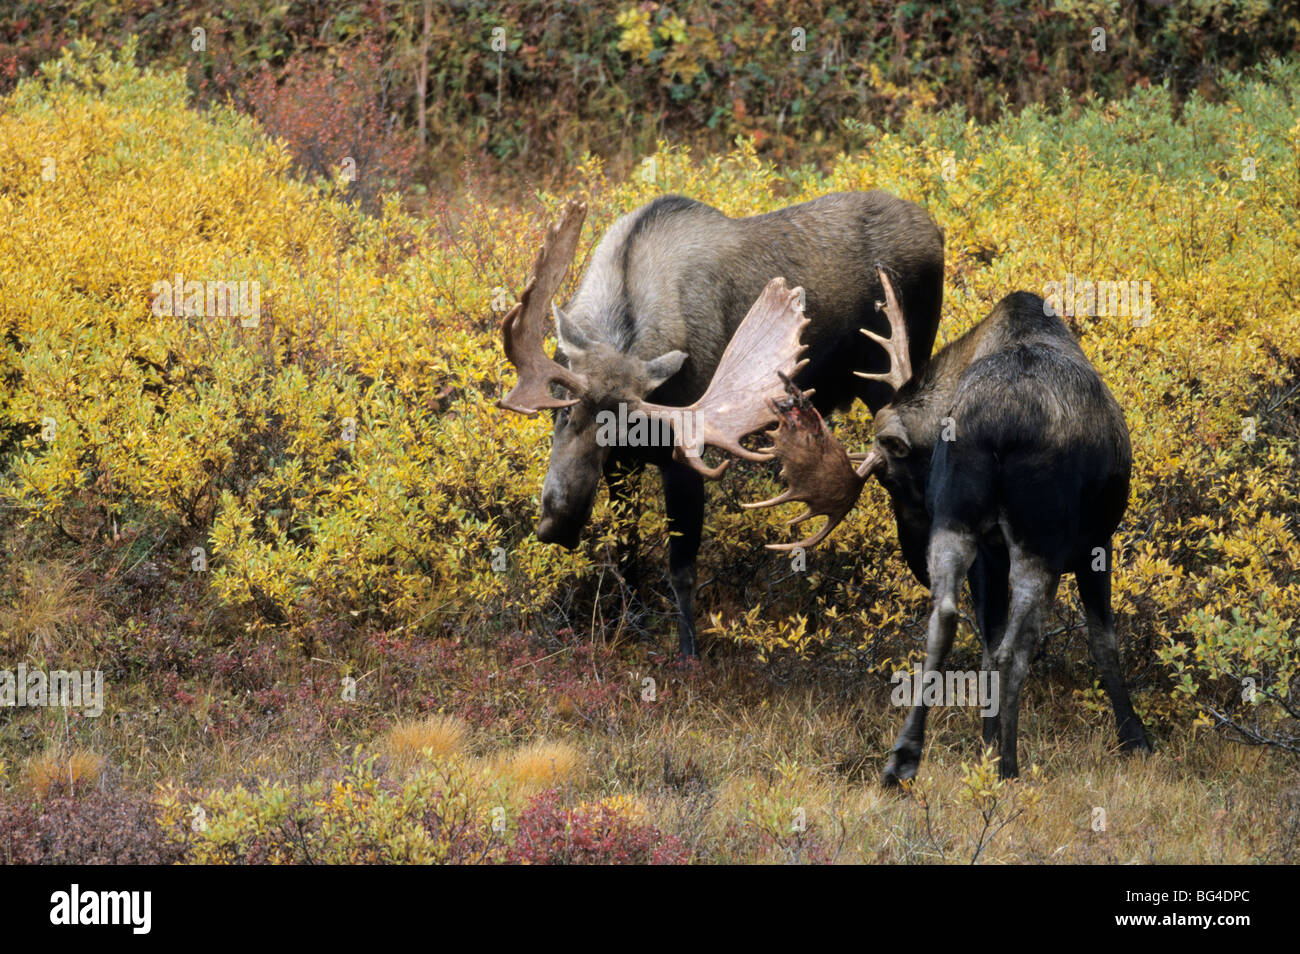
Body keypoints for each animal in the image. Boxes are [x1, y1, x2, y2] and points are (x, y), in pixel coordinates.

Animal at [496, 194, 944, 659]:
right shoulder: (623, 465)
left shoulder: (683, 458)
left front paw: (688, 653)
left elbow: (682, 569)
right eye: (562, 411)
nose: (558, 524)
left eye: (621, 427)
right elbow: (626, 550)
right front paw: (631, 621)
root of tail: (937, 230)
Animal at [745, 270, 1153, 781]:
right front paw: (1134, 738)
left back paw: (905, 757)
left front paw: (984, 739)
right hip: (1038, 537)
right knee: (1013, 650)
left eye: (891, 480)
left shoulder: (989, 551)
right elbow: (1103, 641)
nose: (912, 559)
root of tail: (1001, 424)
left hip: (957, 523)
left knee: (945, 617)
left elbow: (987, 640)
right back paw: (1007, 765)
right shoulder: (1096, 543)